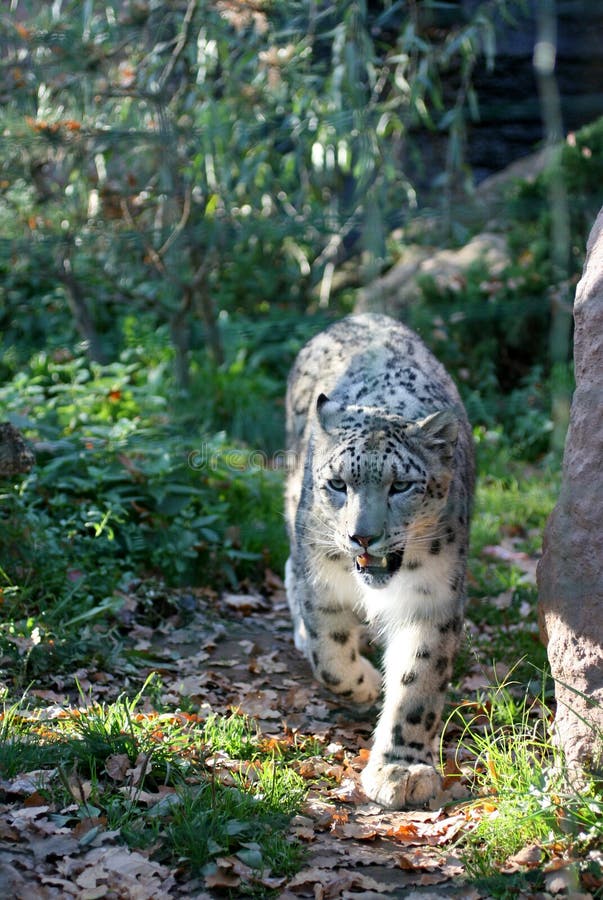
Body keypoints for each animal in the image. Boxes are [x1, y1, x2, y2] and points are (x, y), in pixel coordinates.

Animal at [284, 312, 474, 809]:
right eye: (337, 483)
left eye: (401, 485)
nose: (362, 536)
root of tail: (361, 315)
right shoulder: (322, 582)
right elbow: (329, 654)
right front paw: (367, 683)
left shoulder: (432, 598)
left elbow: (418, 681)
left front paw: (401, 770)